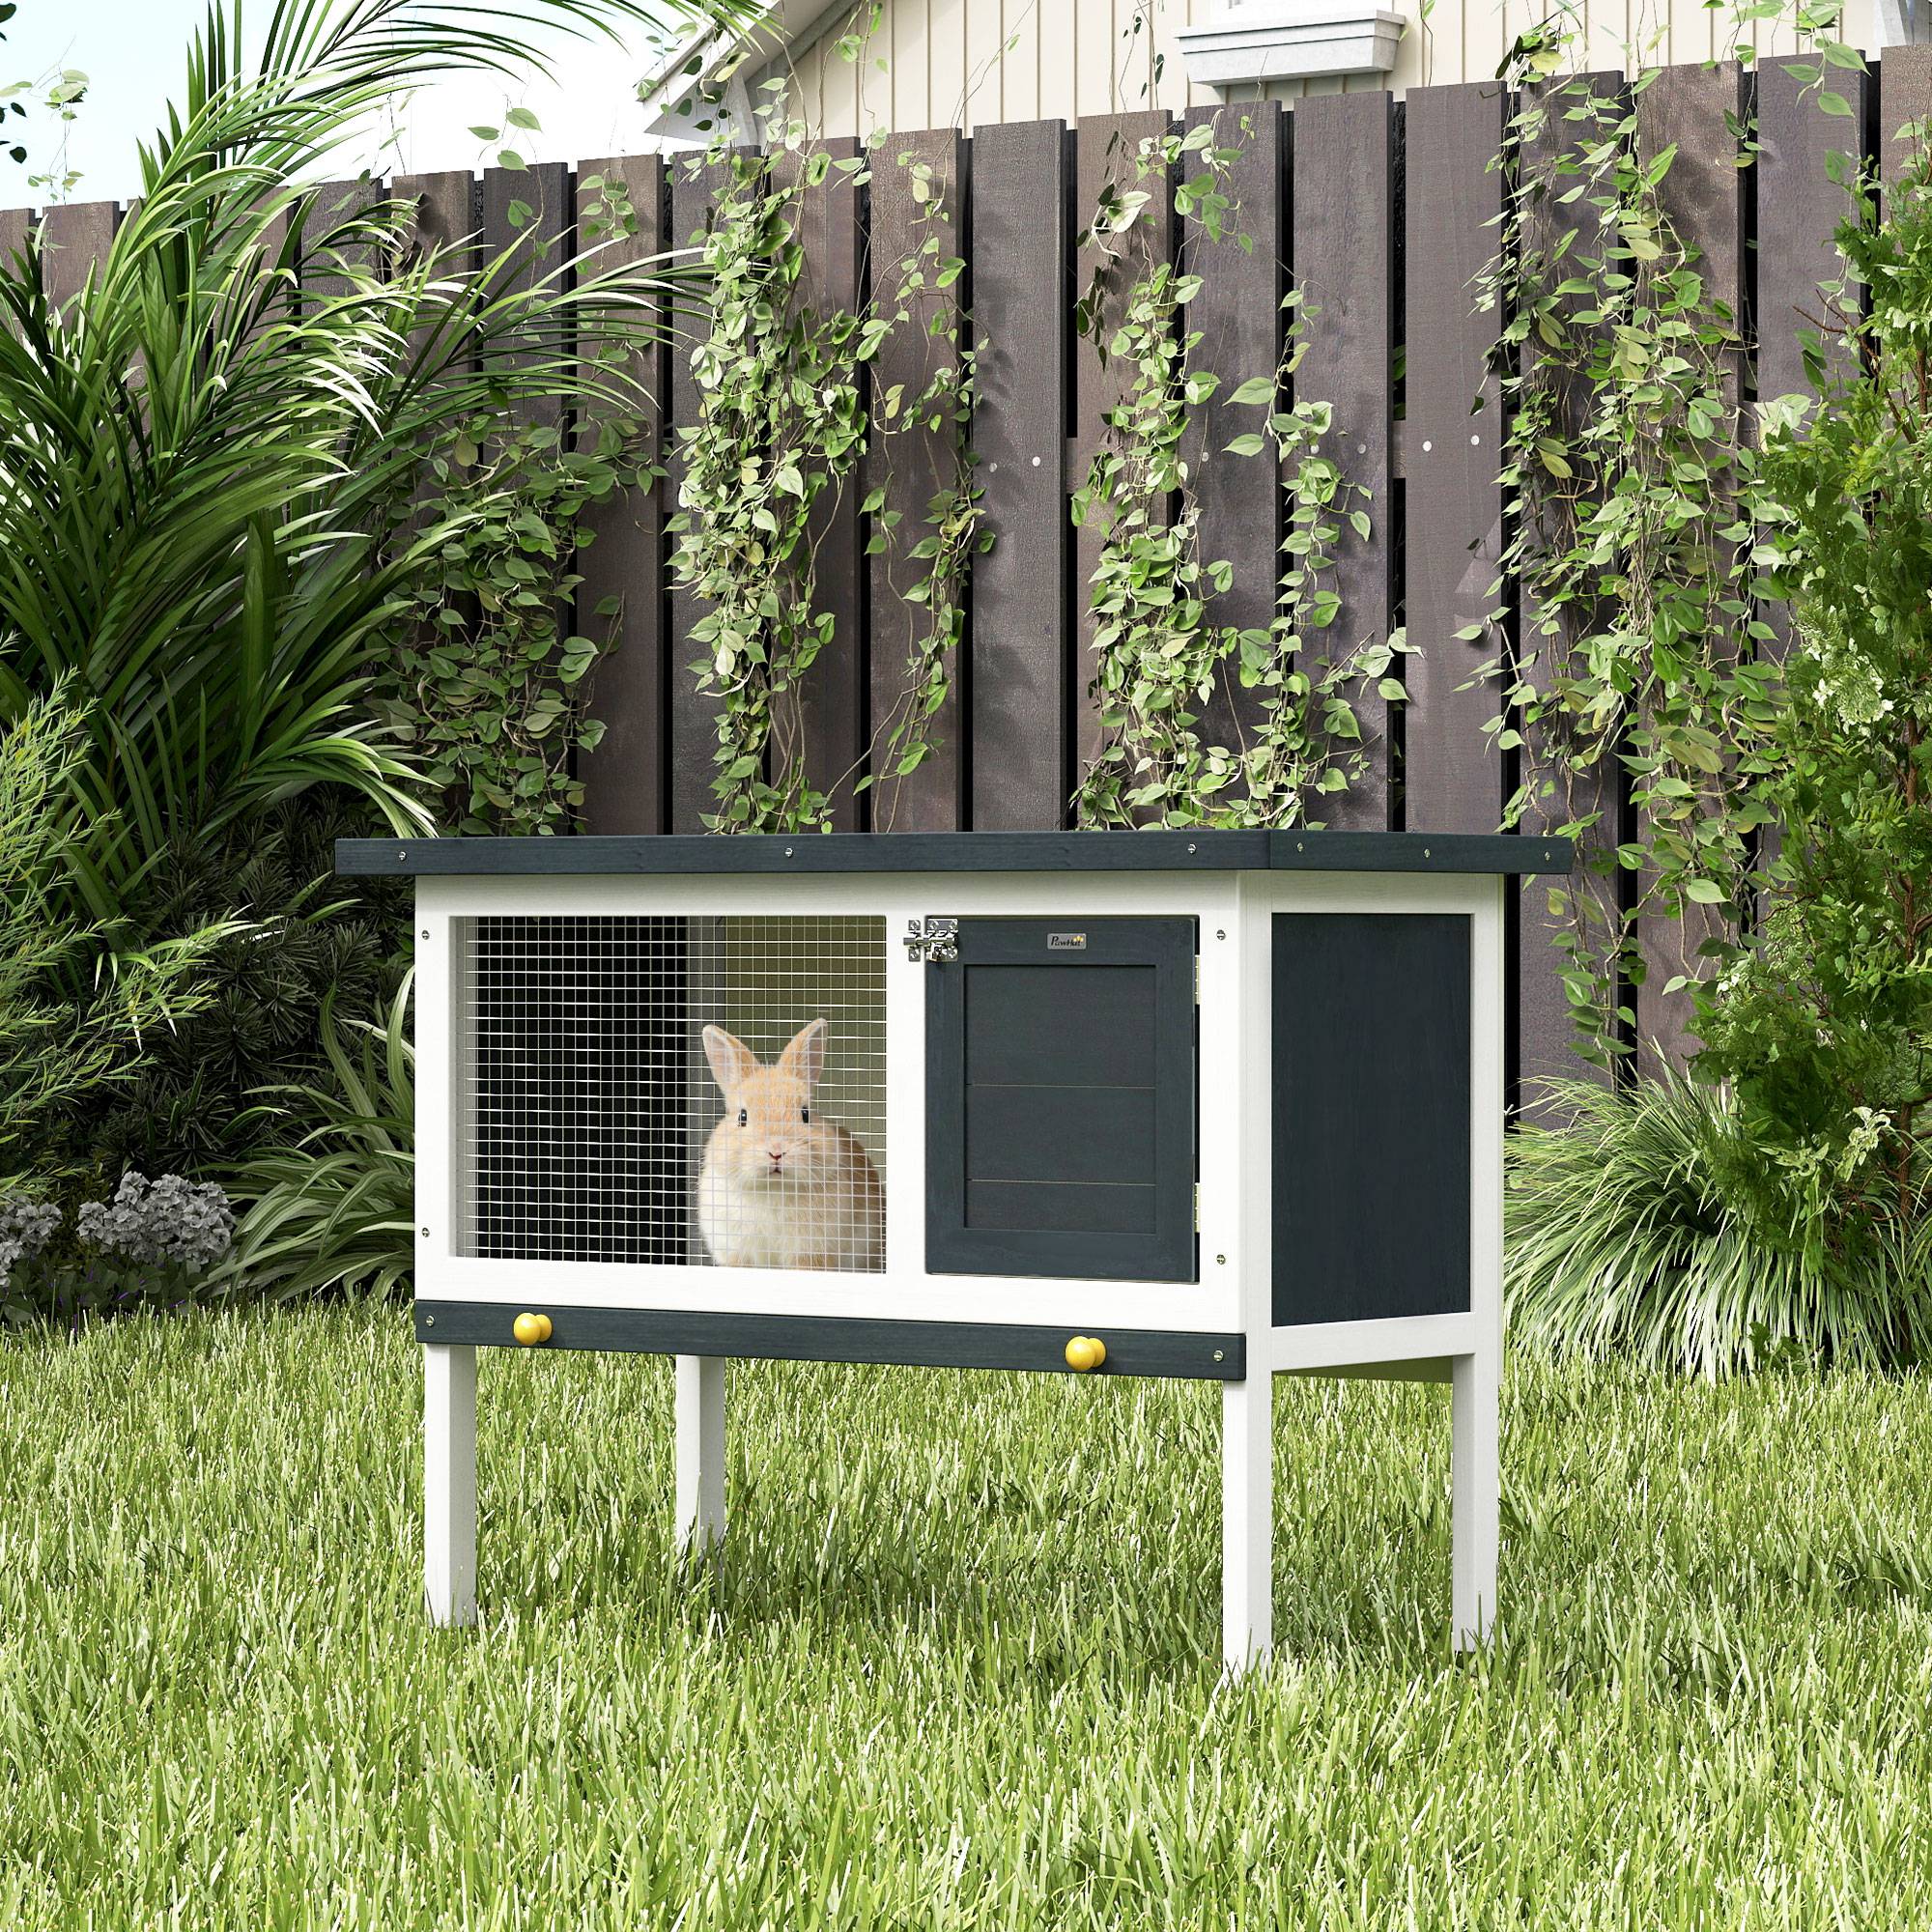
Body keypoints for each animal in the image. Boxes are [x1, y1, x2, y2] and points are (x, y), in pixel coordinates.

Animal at [697, 1018, 885, 1271]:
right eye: (742, 1117)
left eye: (805, 1114)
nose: (776, 1152)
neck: (774, 1189)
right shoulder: (737, 1254)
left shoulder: (810, 1254)